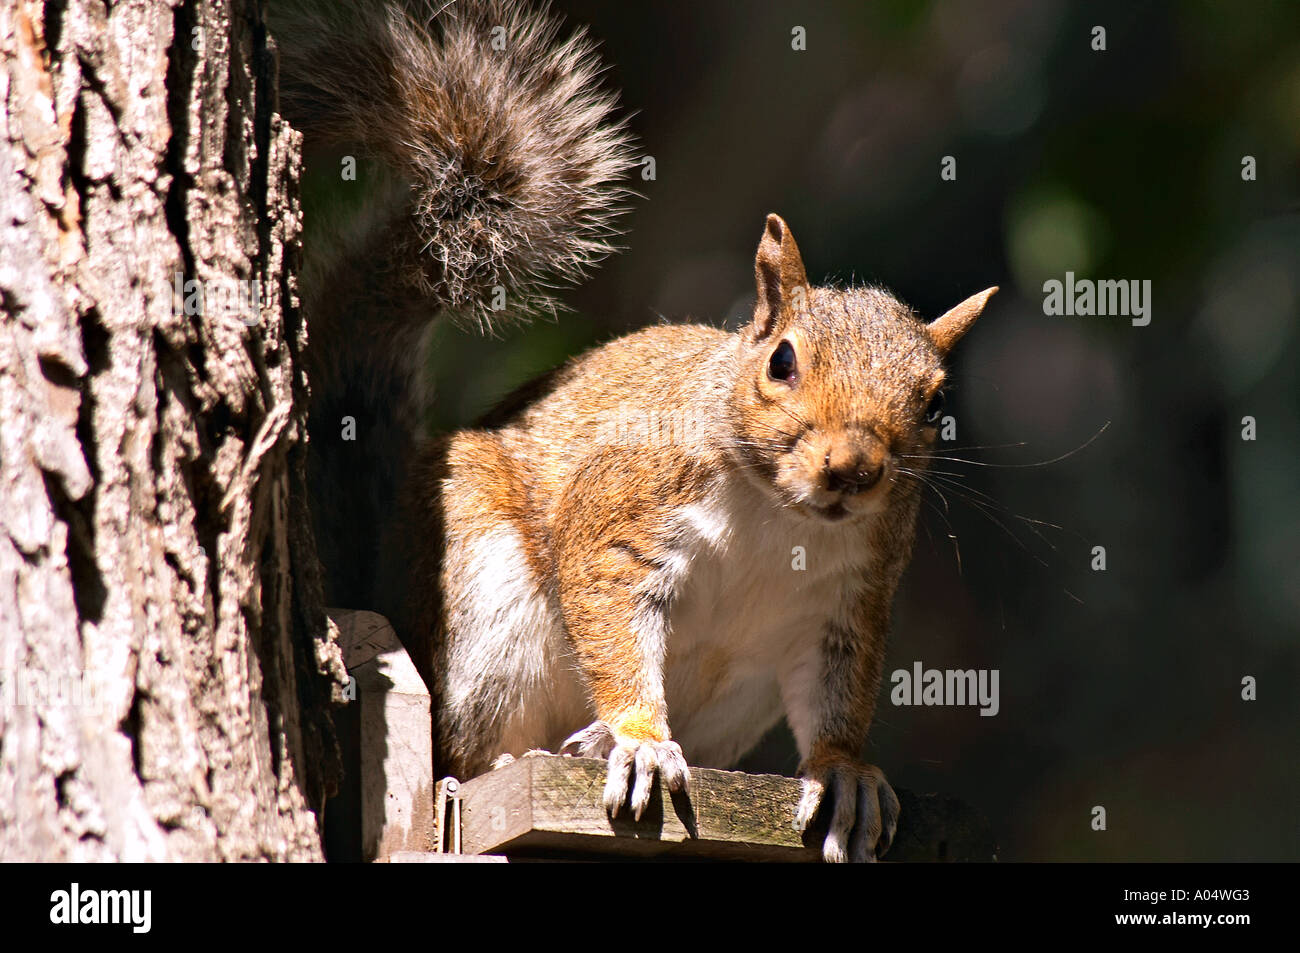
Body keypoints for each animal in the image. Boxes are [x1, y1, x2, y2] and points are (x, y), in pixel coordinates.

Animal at [276, 0, 997, 862]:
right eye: (782, 361)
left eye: (934, 400)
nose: (853, 470)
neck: (777, 517)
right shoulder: (626, 514)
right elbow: (610, 617)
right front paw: (640, 738)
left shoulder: (846, 604)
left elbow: (837, 697)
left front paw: (845, 772)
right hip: (483, 602)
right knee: (469, 746)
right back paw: (526, 758)